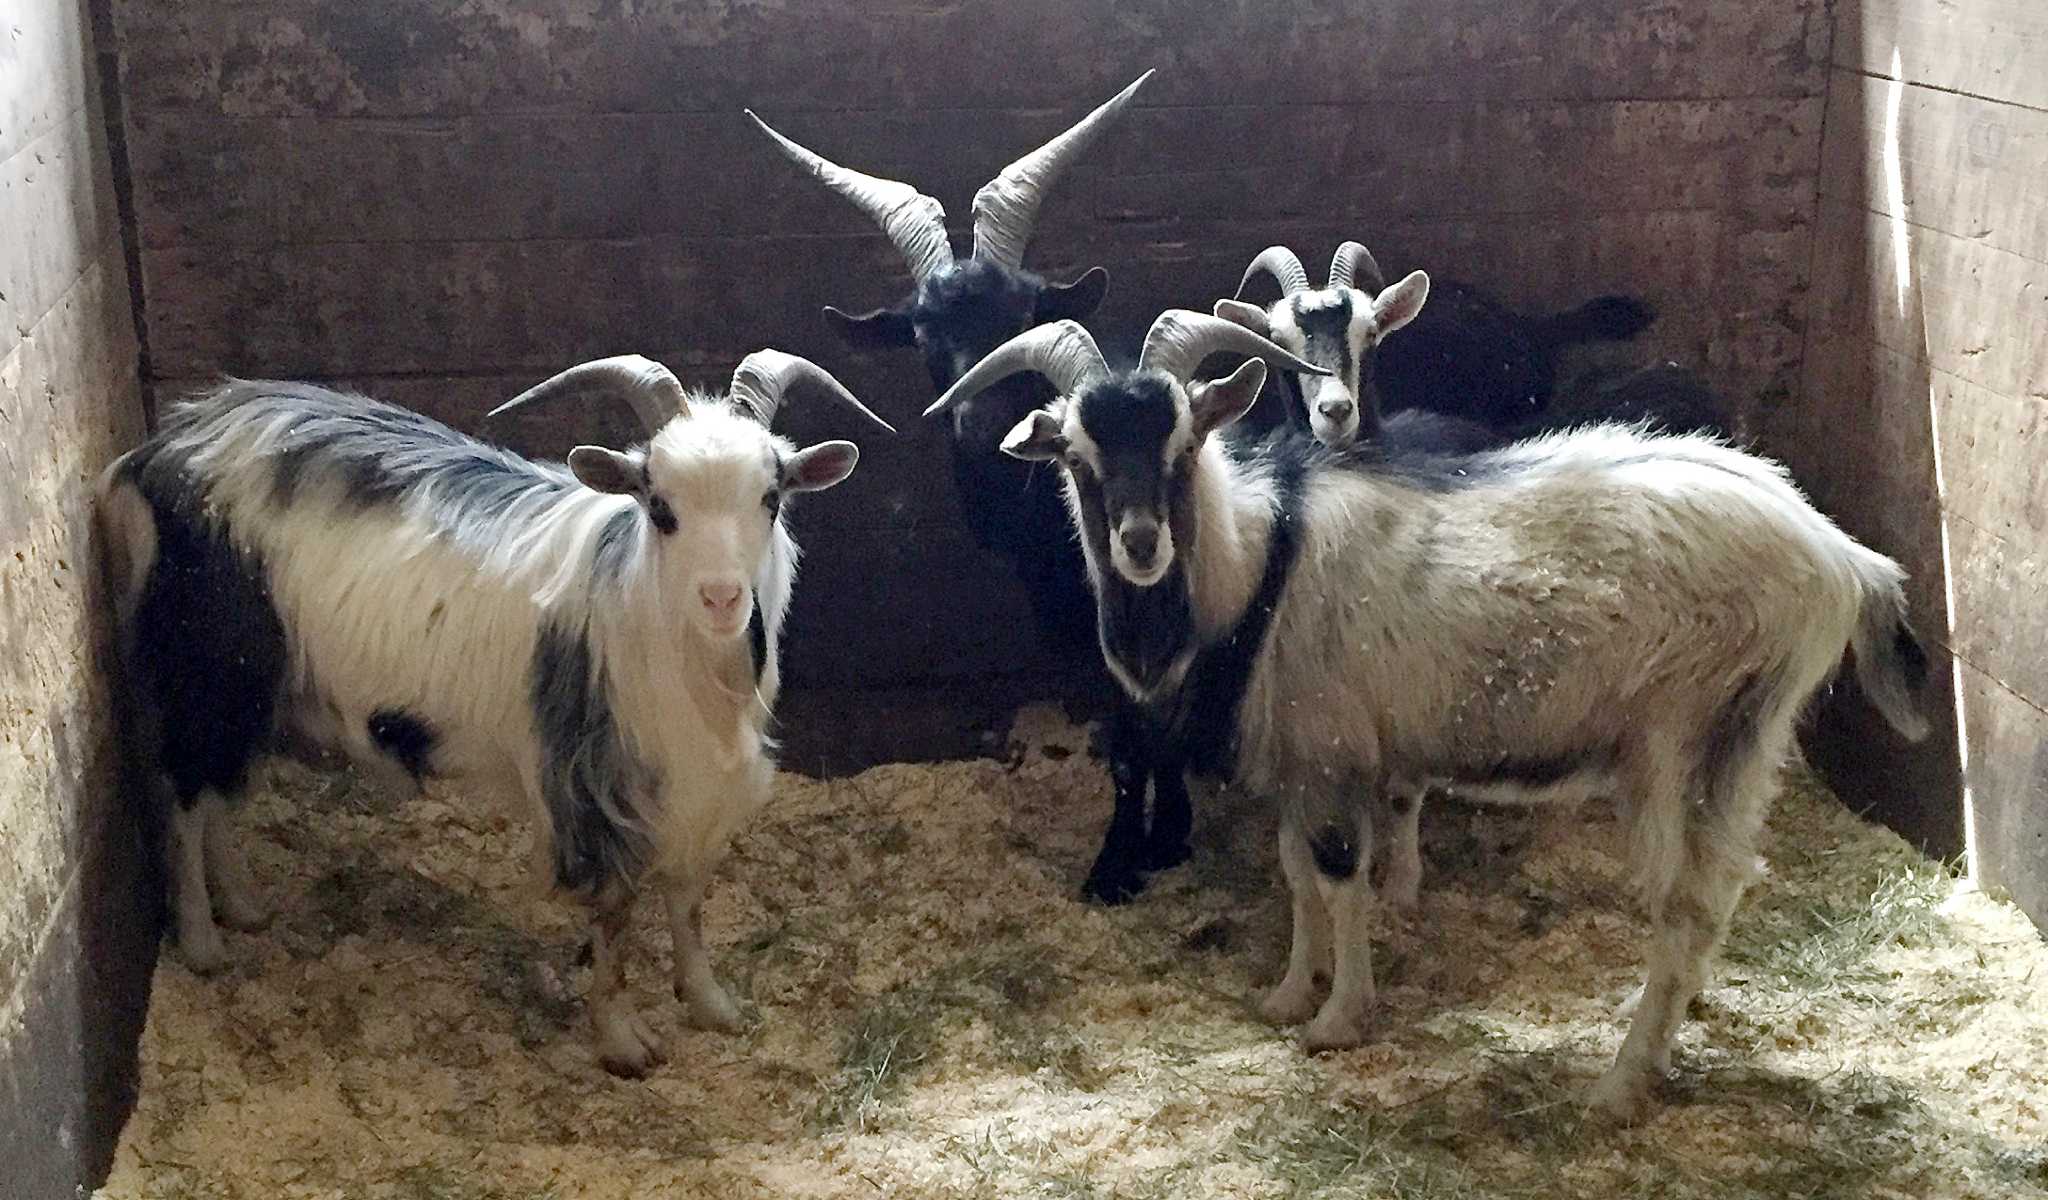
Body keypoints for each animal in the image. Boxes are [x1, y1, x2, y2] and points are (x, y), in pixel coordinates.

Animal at [97, 353, 891, 1076]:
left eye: (771, 497)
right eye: (658, 506)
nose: (722, 598)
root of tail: (151, 457)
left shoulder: (697, 798)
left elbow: (687, 907)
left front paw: (711, 1005)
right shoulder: (592, 793)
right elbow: (614, 926)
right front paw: (623, 1044)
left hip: (243, 690)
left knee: (216, 792)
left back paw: (244, 906)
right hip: (205, 668)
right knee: (185, 798)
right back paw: (205, 944)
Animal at [750, 72, 1197, 905]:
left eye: (1026, 314)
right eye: (923, 331)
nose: (981, 417)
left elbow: (1142, 729)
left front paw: (1121, 862)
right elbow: (1138, 730)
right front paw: (1159, 841)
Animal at [928, 308, 1932, 1121]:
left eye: (1182, 444)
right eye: (1078, 456)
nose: (1140, 545)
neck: (1255, 565)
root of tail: (1845, 559)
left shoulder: (1333, 750)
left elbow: (1340, 880)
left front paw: (1338, 1020)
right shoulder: (1304, 760)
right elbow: (1294, 873)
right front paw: (1289, 994)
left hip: (1692, 737)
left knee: (1690, 901)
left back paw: (1619, 1085)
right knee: (1715, 893)